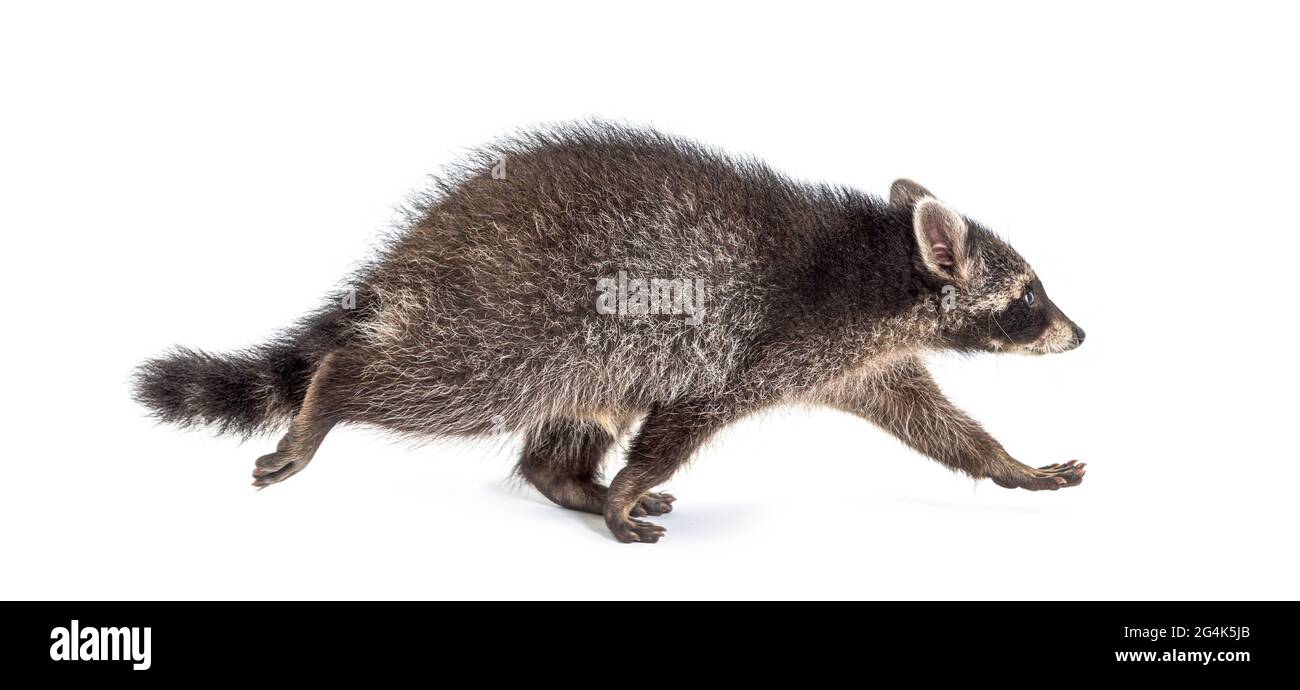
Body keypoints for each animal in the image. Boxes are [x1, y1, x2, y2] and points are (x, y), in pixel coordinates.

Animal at [135, 122, 1086, 543]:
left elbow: (931, 420)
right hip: (509, 324)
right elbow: (683, 421)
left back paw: (573, 483)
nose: (1078, 335)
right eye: (1030, 295)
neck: (881, 266)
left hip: (581, 355)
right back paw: (335, 389)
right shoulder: (763, 344)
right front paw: (630, 486)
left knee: (567, 428)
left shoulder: (856, 361)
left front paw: (1006, 462)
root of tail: (415, 253)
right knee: (434, 385)